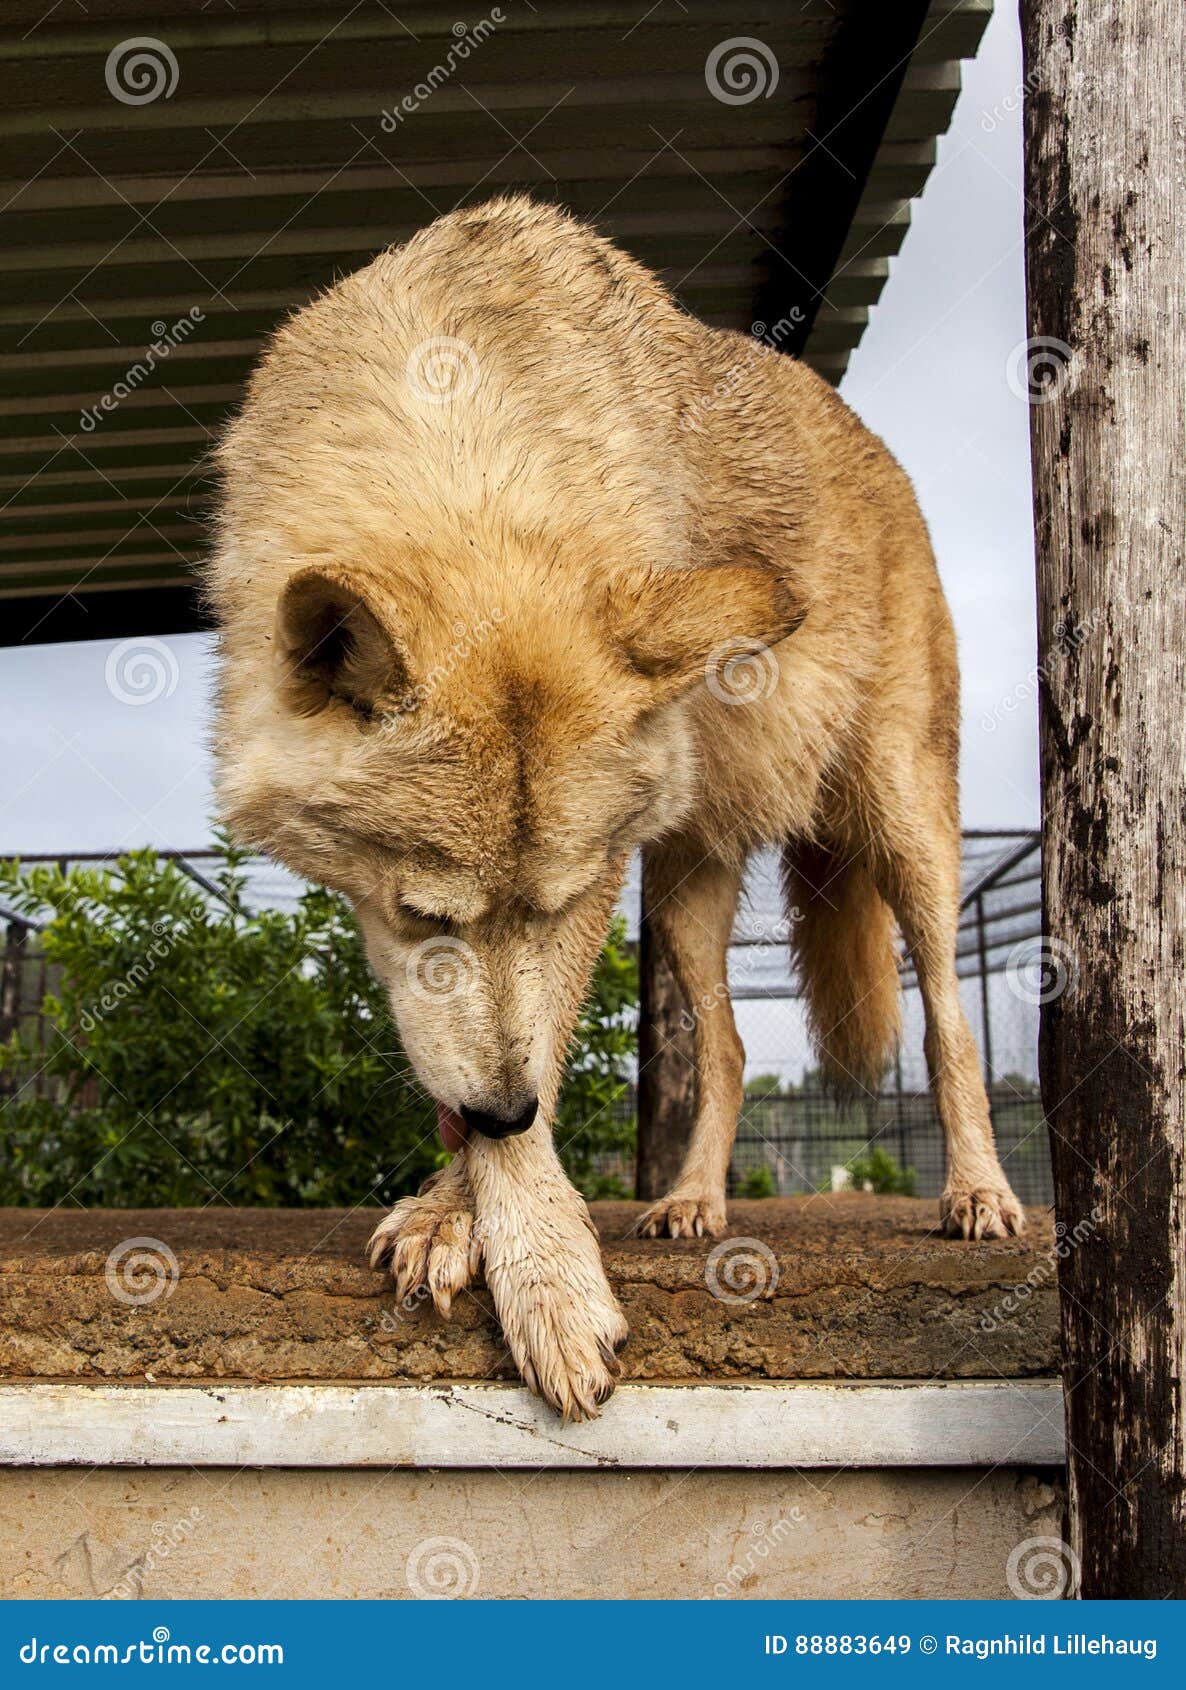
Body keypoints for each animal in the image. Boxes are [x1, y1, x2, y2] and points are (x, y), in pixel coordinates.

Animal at [208, 197, 1024, 1420]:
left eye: (543, 913)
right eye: (423, 917)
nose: (498, 1114)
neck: (463, 410)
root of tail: (879, 451)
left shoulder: (589, 883)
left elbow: (540, 1058)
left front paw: (537, 1280)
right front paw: (474, 1217)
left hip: (905, 832)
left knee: (946, 1023)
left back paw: (976, 1193)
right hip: (686, 896)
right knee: (726, 1048)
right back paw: (692, 1204)